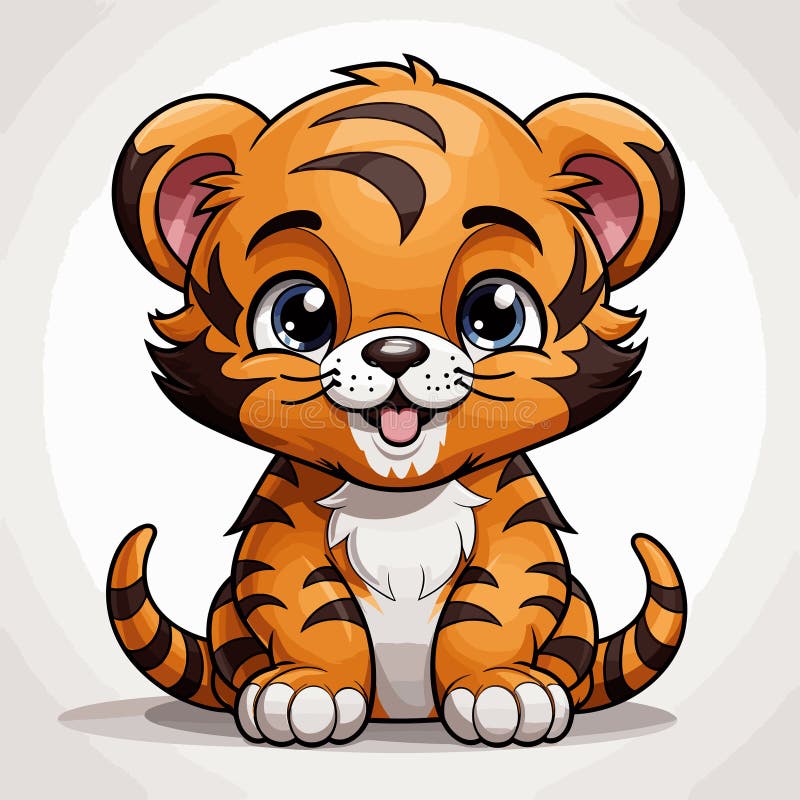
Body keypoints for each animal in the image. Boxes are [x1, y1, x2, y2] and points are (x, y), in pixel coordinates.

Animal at [107, 55, 686, 747]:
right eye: (299, 317)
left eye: (496, 313)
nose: (396, 352)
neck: (401, 499)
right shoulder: (285, 525)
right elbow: (311, 607)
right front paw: (307, 690)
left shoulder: (514, 526)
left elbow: (493, 603)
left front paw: (502, 690)